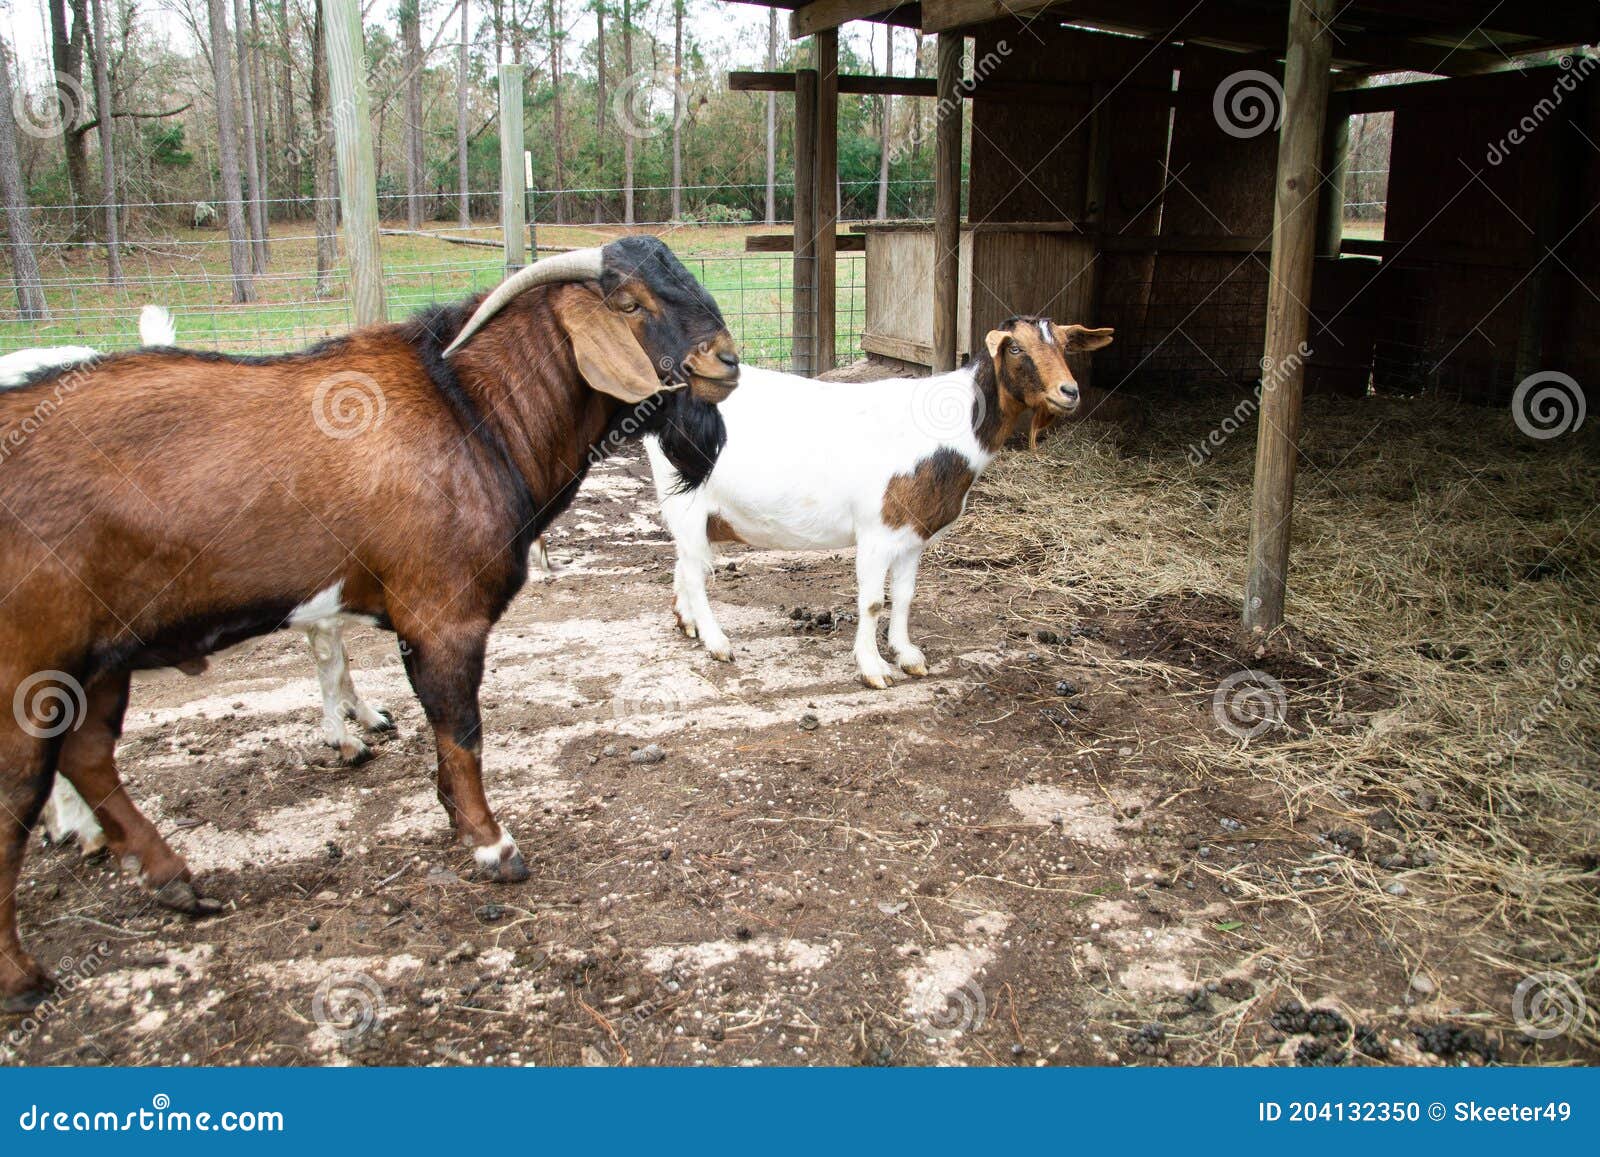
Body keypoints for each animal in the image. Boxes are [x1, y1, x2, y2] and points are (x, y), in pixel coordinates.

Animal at [0, 237, 738, 1010]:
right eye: (628, 303)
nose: (726, 360)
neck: (475, 412)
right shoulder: (442, 613)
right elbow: (462, 732)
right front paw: (491, 844)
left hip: (100, 650)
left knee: (87, 753)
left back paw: (173, 879)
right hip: (29, 656)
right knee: (19, 794)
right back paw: (24, 975)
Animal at [645, 316, 1112, 688]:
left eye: (1066, 345)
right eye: (1016, 348)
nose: (1068, 391)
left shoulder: (913, 535)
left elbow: (904, 596)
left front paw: (907, 655)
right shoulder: (878, 531)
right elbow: (872, 601)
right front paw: (873, 668)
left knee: (685, 562)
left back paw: (687, 623)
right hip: (687, 502)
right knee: (696, 572)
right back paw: (717, 642)